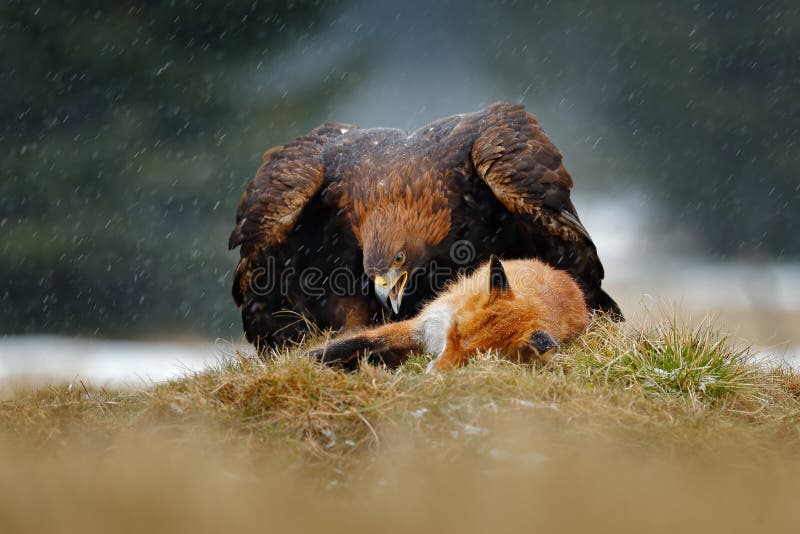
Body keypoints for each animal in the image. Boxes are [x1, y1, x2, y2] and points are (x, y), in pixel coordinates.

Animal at [308, 255, 590, 372]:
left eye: (475, 358)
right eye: (454, 333)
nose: (431, 374)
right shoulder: (424, 324)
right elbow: (362, 340)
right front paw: (312, 357)